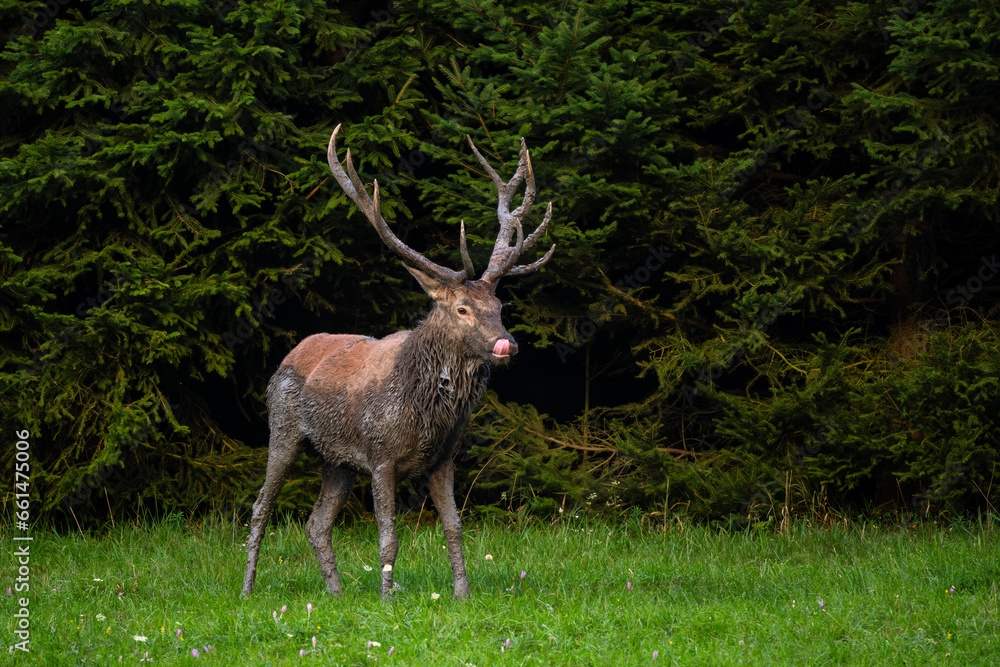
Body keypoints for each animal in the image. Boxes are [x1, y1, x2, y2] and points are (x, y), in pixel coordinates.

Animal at [241, 124, 554, 600]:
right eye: (462, 308)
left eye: (499, 305)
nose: (507, 345)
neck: (425, 412)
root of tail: (290, 354)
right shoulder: (380, 453)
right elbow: (388, 534)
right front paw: (388, 597)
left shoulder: (443, 459)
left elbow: (454, 527)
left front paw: (462, 595)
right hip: (283, 427)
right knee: (261, 506)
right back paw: (247, 589)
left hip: (337, 460)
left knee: (316, 523)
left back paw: (335, 592)